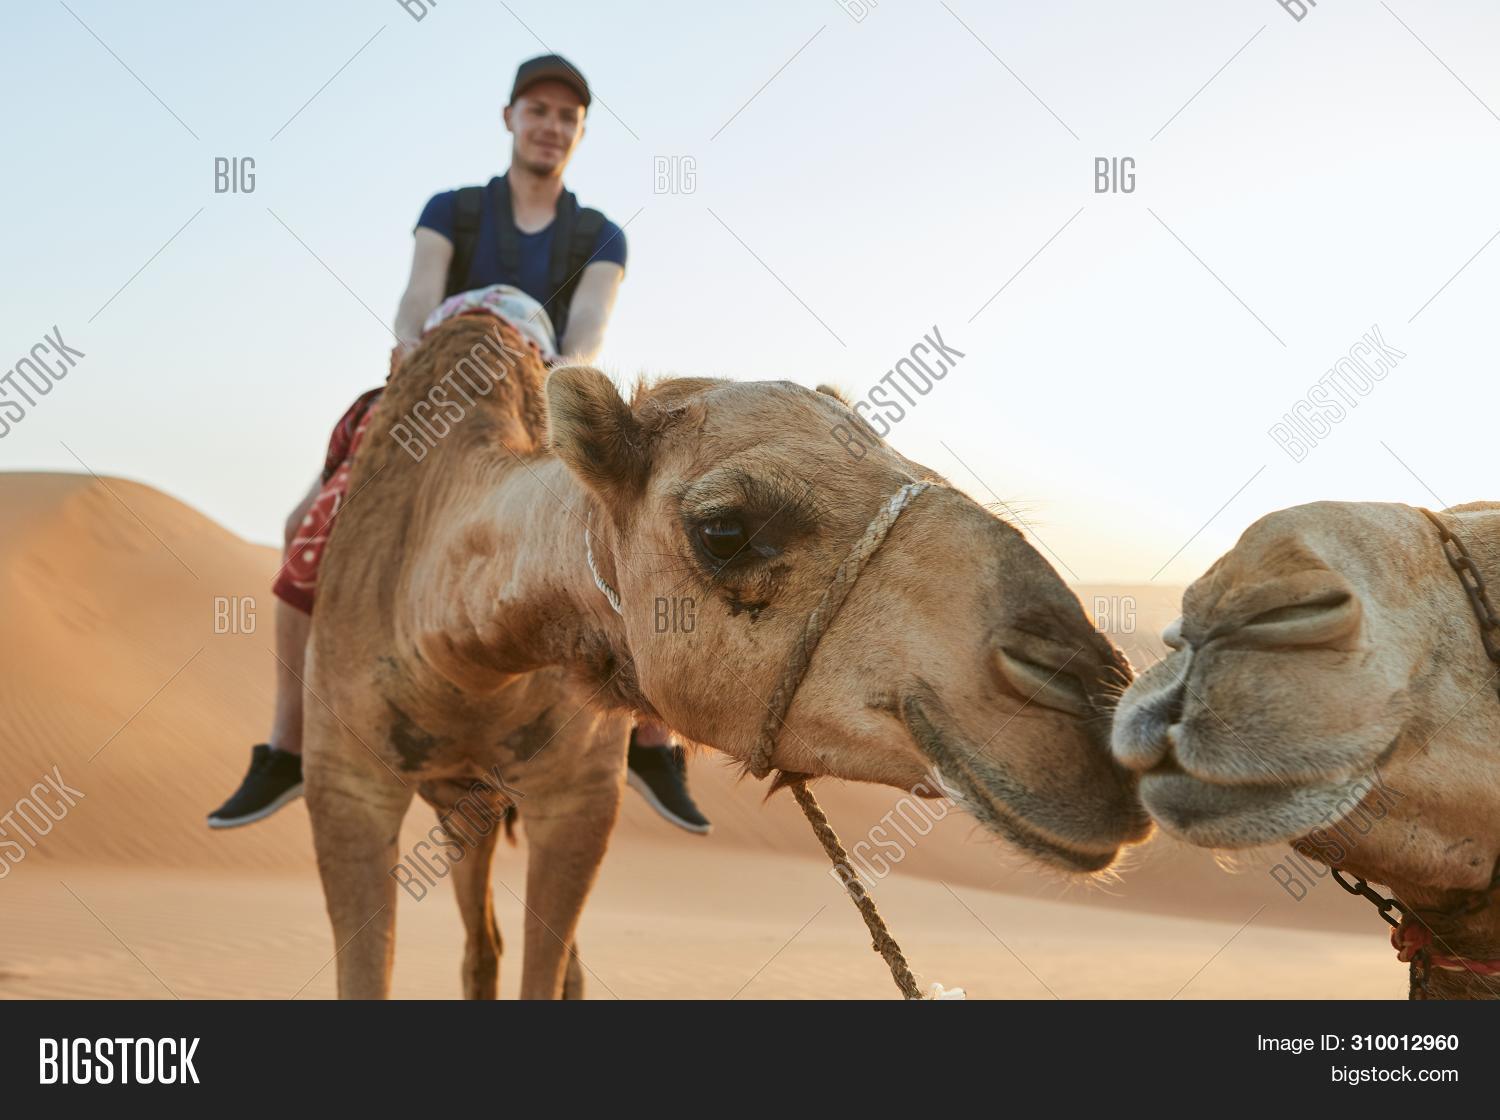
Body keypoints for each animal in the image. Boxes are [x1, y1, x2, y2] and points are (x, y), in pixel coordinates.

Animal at [304, 312, 1151, 999]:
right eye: (725, 530)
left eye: (931, 475)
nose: (1096, 693)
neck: (463, 639)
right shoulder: (345, 787)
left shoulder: (580, 799)